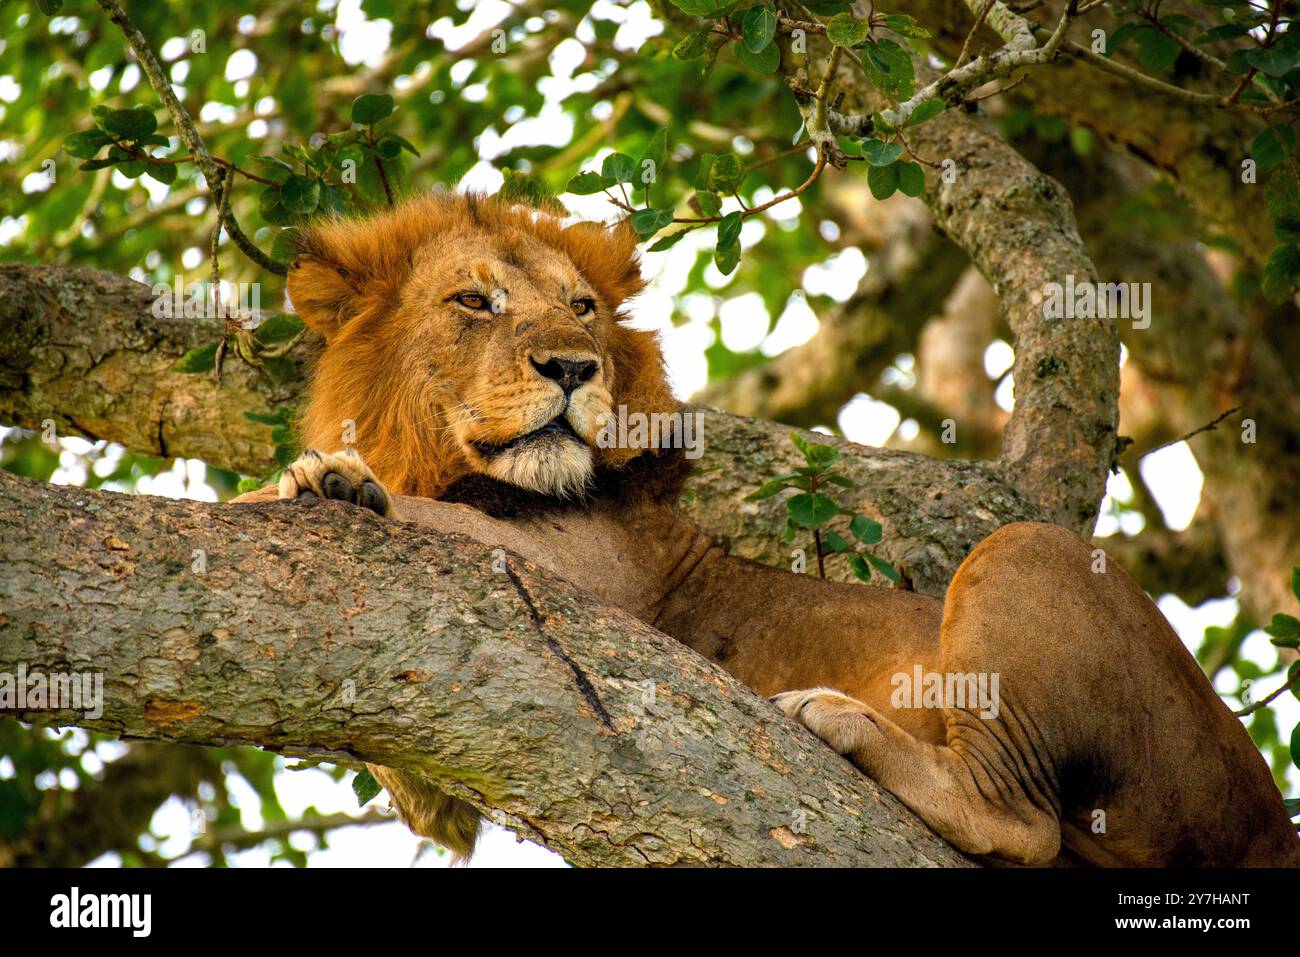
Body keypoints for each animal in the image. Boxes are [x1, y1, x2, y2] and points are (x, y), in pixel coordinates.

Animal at [236, 192, 1300, 867]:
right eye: (473, 300)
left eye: (582, 307)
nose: (575, 367)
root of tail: (1274, 827)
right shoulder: (441, 789)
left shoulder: (593, 581)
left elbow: (434, 516)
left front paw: (321, 480)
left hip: (1031, 553)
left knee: (1022, 820)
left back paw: (835, 718)